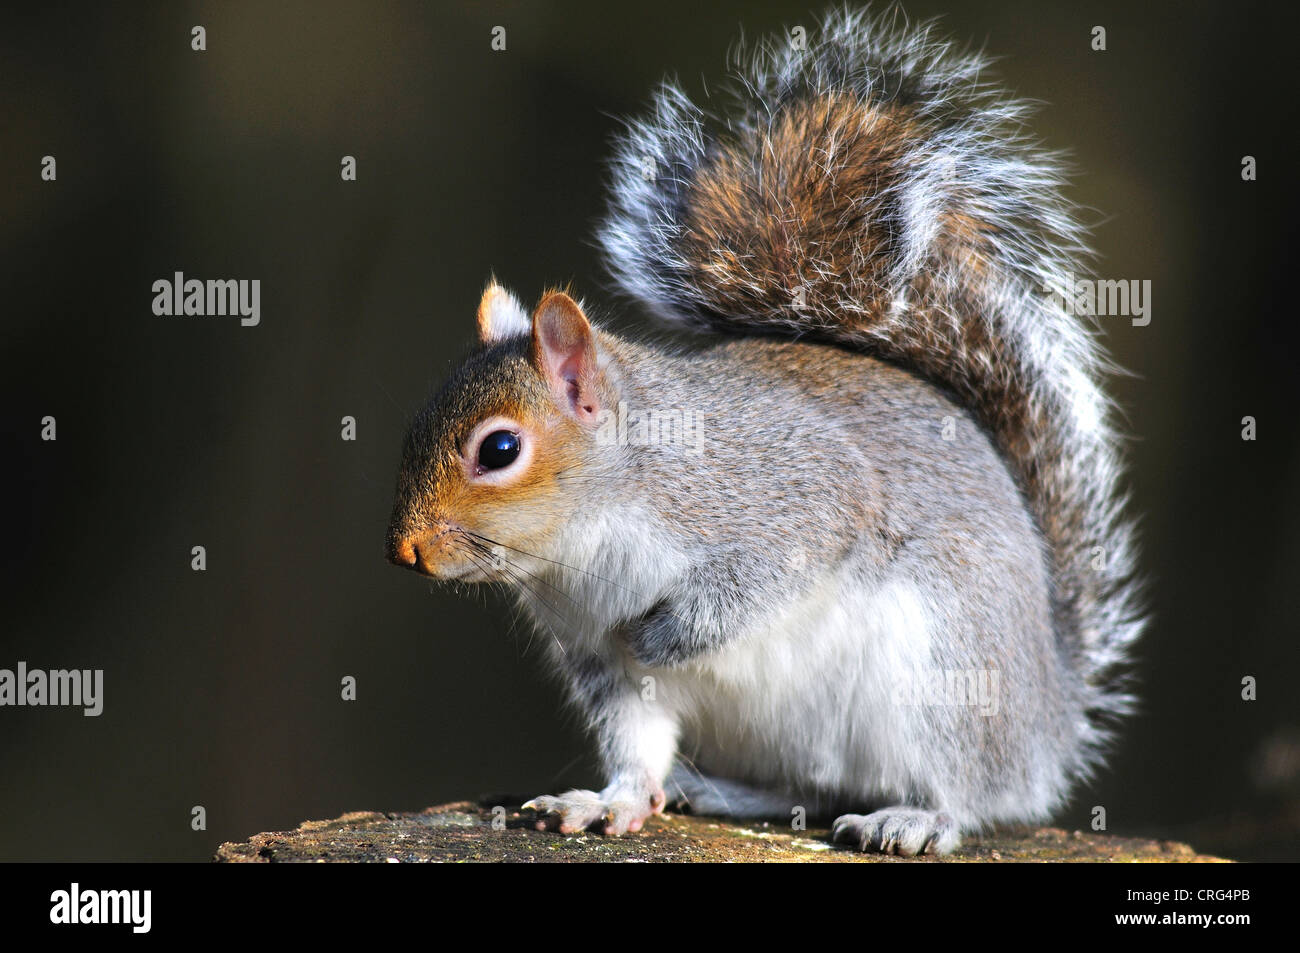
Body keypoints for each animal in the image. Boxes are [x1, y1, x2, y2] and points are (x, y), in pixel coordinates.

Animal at [386, 7, 1143, 855]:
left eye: (500, 449)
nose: (404, 550)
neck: (587, 535)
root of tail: (1049, 721)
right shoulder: (597, 658)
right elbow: (636, 740)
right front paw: (610, 800)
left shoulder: (786, 498)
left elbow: (763, 576)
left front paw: (666, 634)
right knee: (808, 787)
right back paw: (721, 790)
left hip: (946, 669)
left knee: (966, 789)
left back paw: (916, 815)